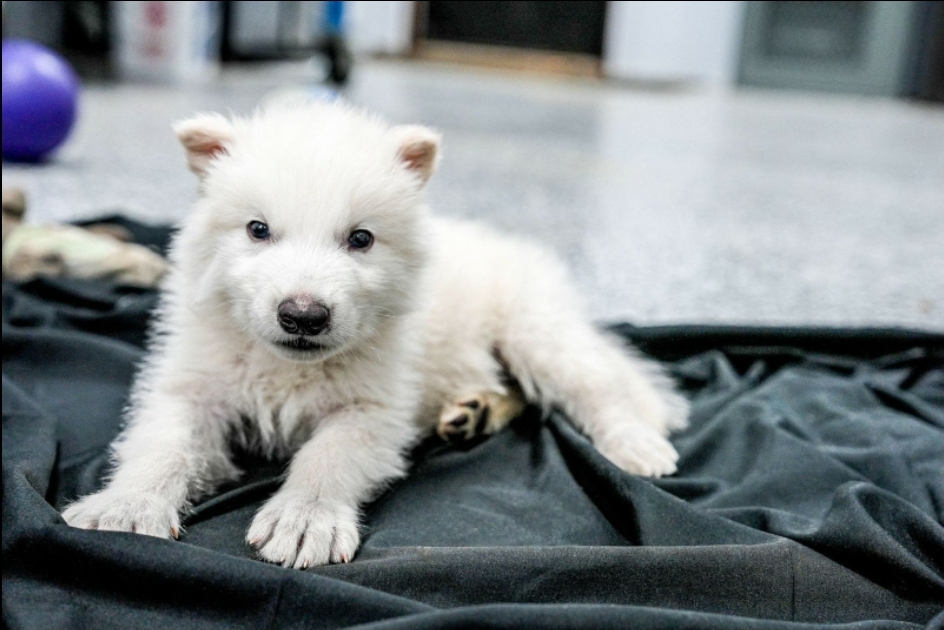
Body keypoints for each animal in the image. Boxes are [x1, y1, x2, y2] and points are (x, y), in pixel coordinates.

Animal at [62, 103, 688, 569]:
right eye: (257, 229)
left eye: (360, 239)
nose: (303, 315)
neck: (286, 367)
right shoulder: (195, 383)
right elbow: (164, 443)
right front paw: (127, 509)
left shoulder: (375, 406)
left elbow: (329, 455)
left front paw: (303, 521)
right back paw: (473, 410)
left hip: (536, 326)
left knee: (595, 383)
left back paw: (636, 444)